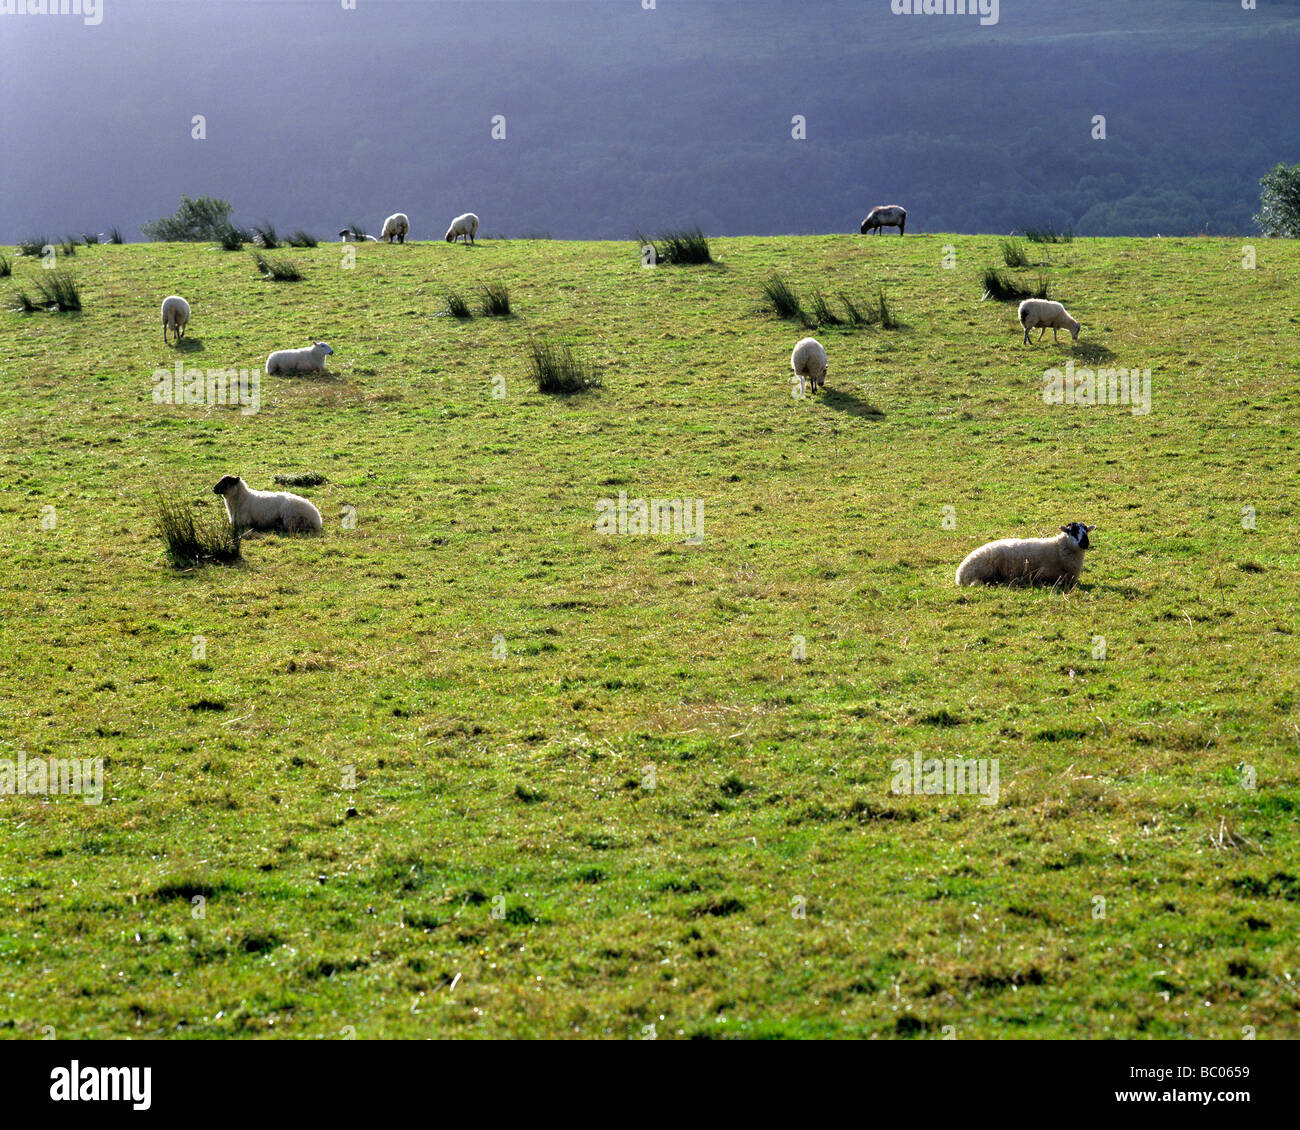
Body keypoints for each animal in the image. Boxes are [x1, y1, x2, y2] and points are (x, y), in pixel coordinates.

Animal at [955, 522, 1096, 588]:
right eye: (1072, 531)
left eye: (1086, 531)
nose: (1085, 543)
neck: (1059, 547)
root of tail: (959, 575)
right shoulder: (1045, 573)